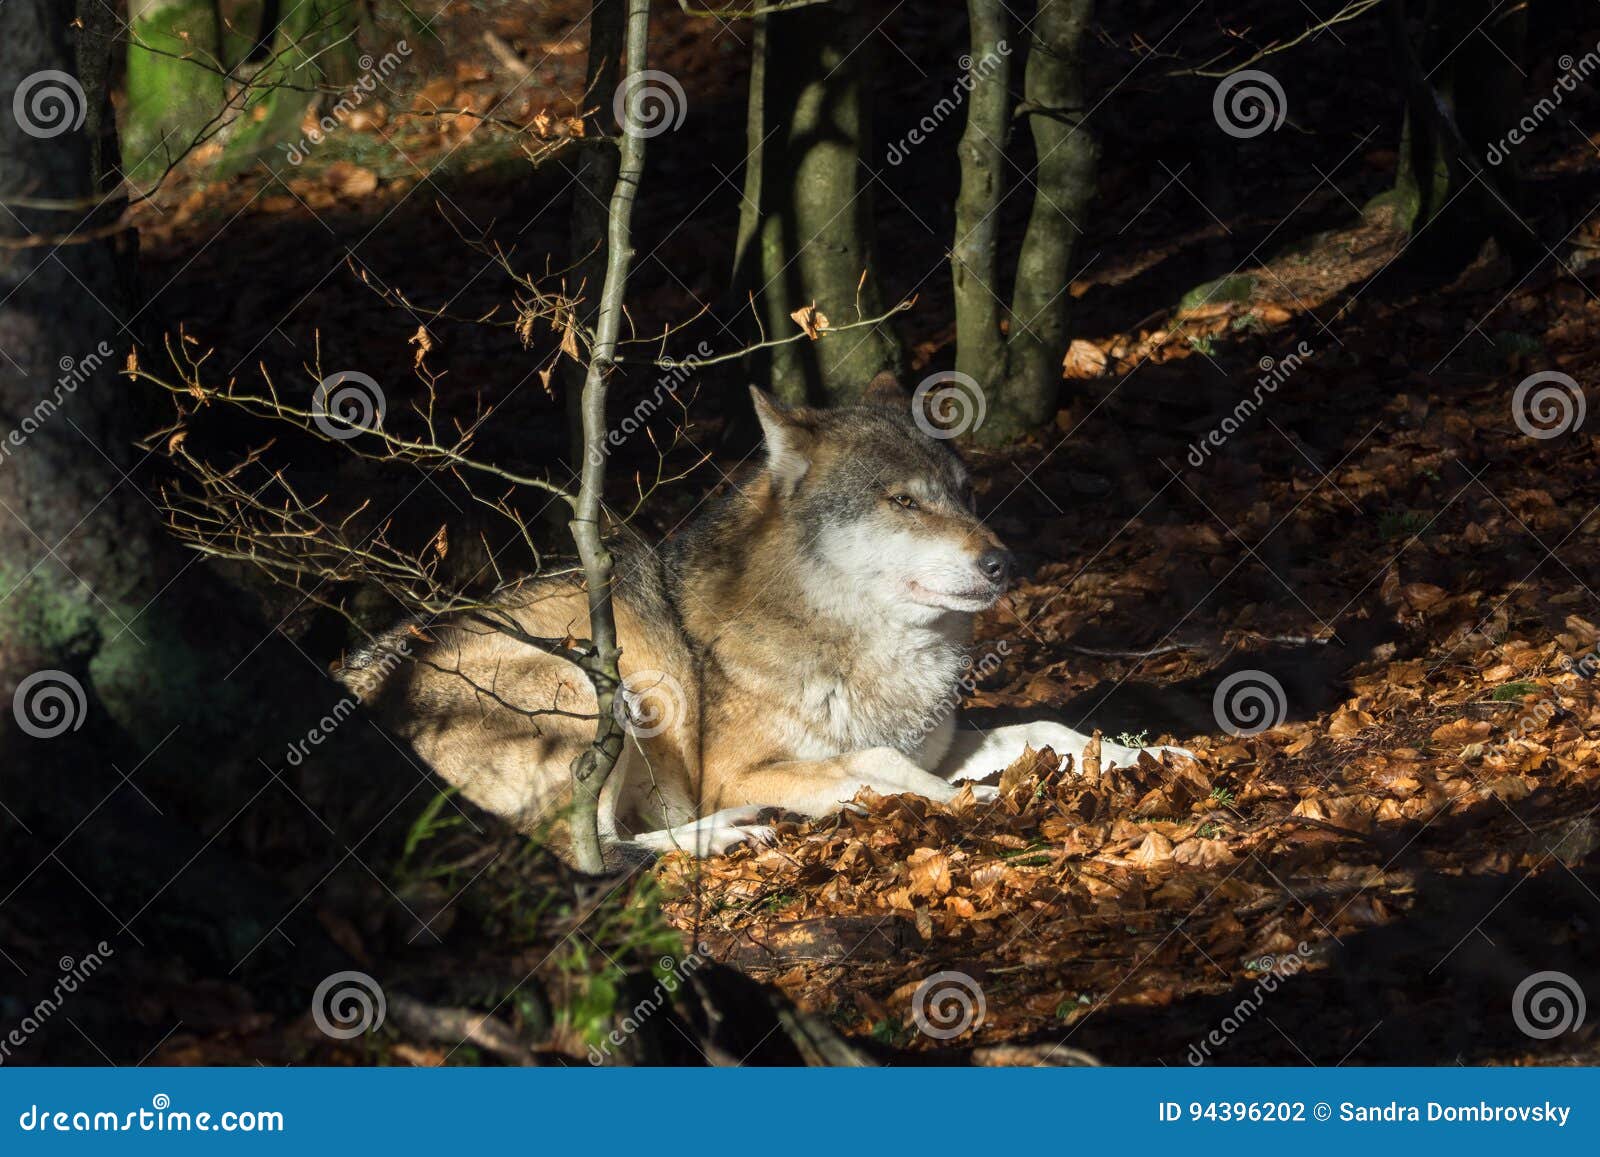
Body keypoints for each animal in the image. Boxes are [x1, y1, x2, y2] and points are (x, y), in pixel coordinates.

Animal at [339, 375, 1186, 862]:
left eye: (964, 494)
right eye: (903, 502)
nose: (1004, 563)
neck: (856, 644)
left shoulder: (940, 740)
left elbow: (1044, 728)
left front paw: (1148, 751)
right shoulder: (741, 766)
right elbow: (886, 765)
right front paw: (980, 799)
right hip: (610, 687)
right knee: (596, 851)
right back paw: (727, 830)